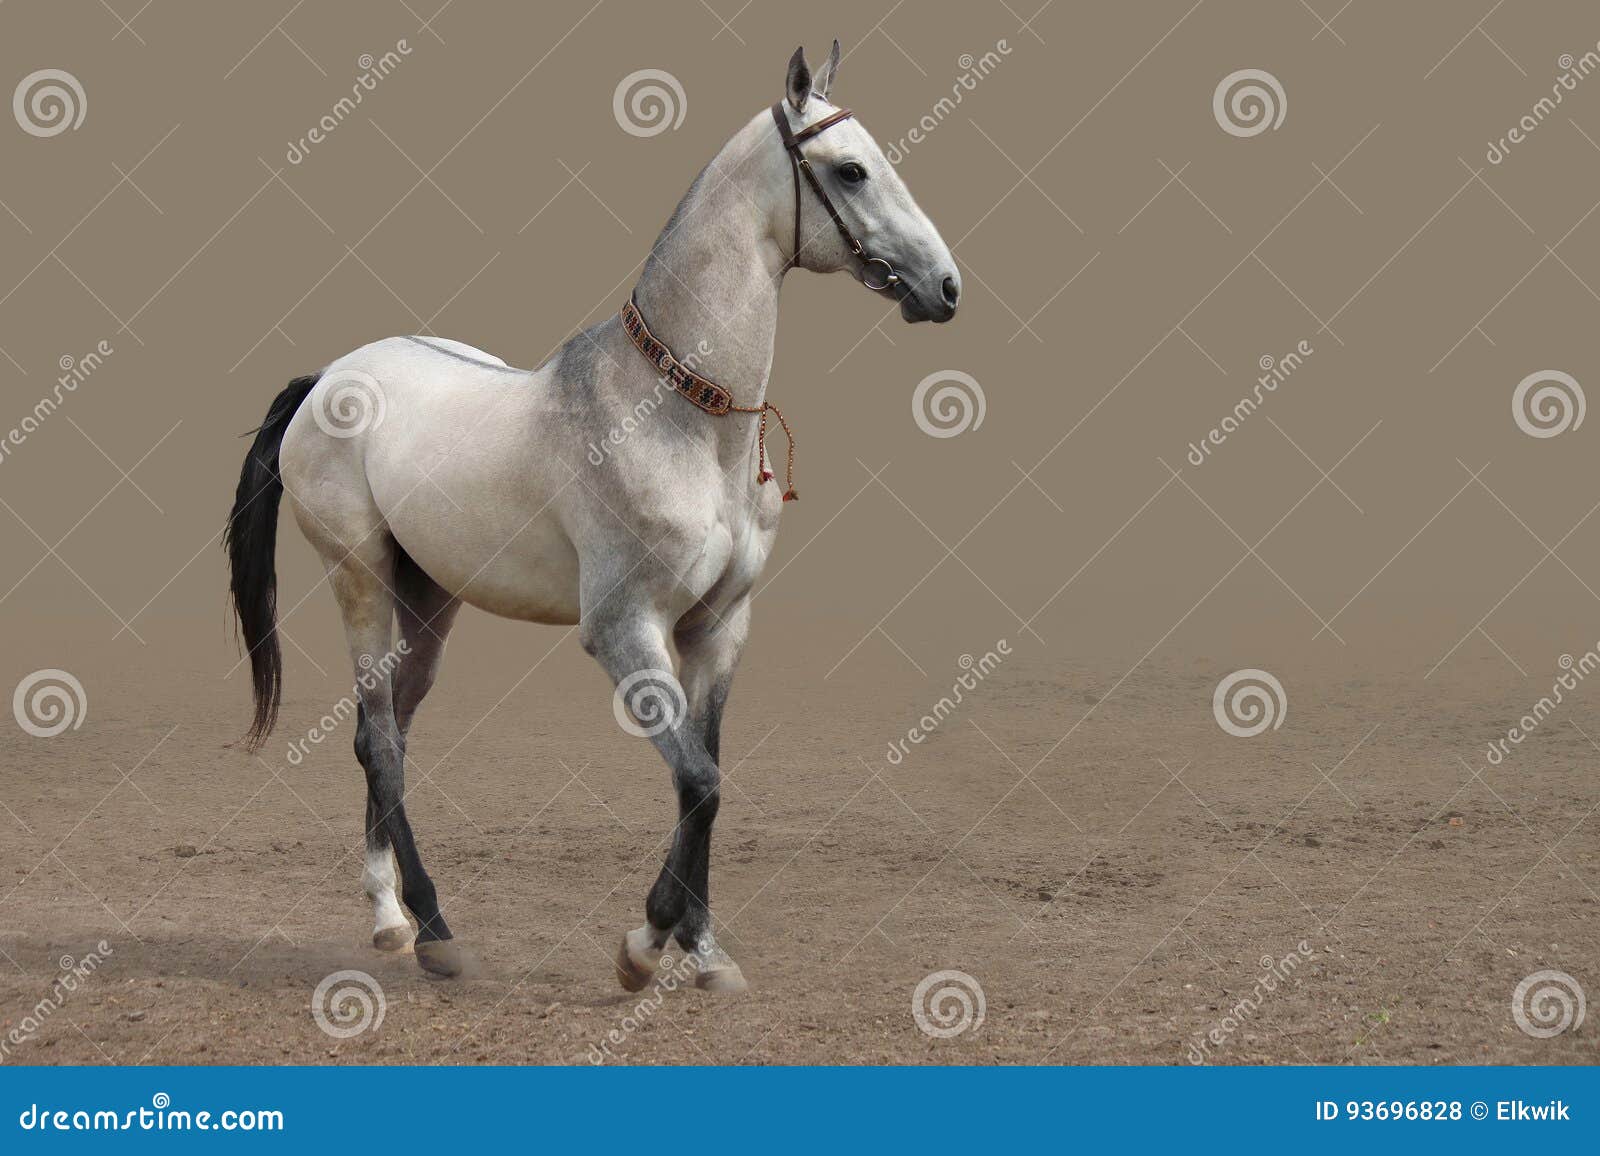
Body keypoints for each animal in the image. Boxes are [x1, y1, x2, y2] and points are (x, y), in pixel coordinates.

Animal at [224, 41, 959, 993]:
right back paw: (432, 930)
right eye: (851, 169)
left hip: (429, 602)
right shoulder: (623, 629)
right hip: (360, 580)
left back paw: (389, 918)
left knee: (385, 732)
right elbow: (700, 783)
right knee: (379, 743)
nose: (945, 287)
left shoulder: (717, 629)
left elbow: (705, 777)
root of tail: (329, 379)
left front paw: (704, 954)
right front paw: (644, 948)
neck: (677, 417)